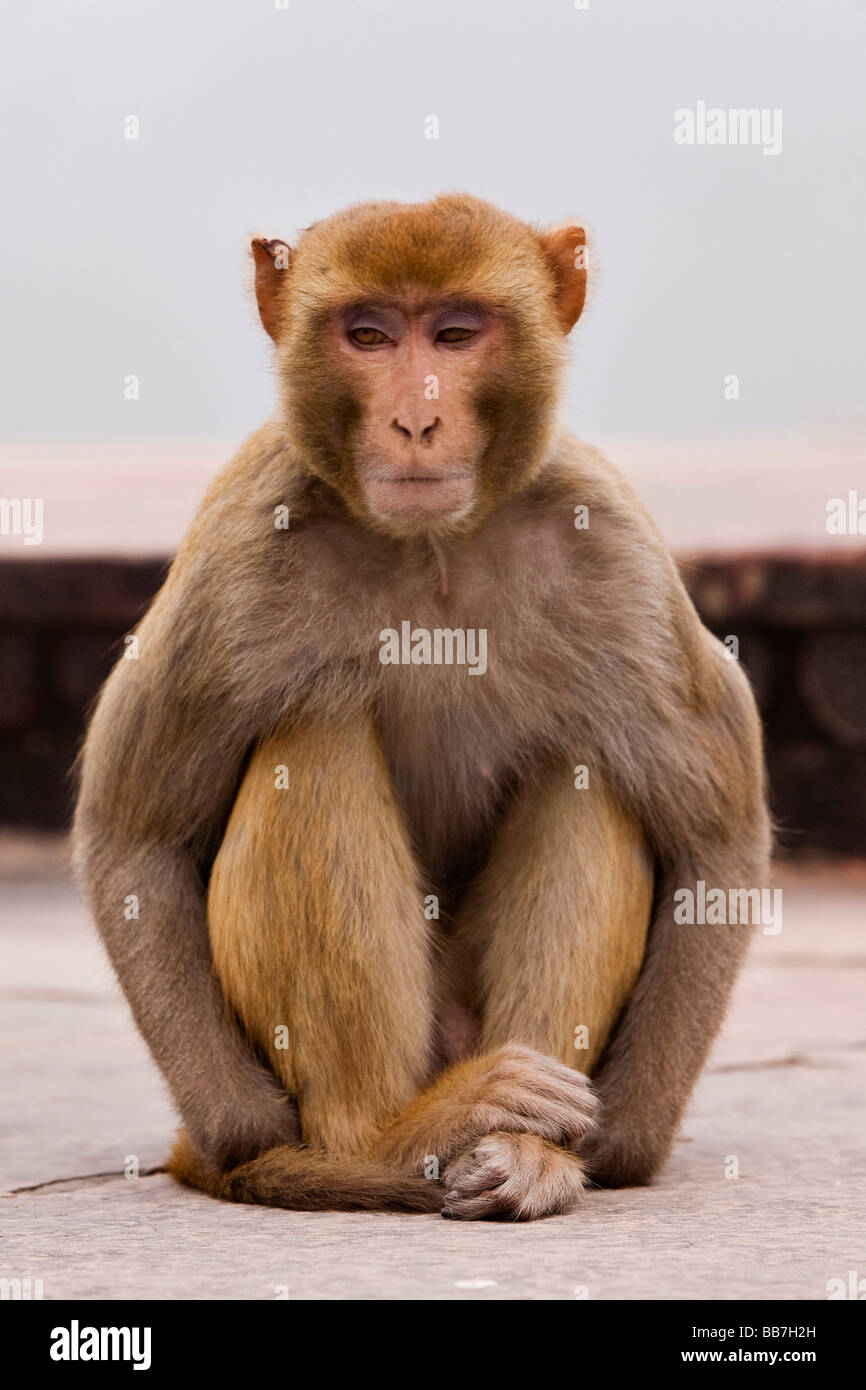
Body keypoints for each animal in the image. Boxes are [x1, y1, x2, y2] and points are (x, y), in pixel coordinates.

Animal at [73, 193, 770, 1220]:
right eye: (368, 335)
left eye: (455, 334)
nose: (416, 418)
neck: (431, 546)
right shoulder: (238, 547)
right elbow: (138, 841)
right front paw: (257, 1150)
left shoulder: (618, 548)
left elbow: (715, 842)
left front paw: (615, 1149)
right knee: (315, 728)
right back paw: (391, 1140)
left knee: (586, 764)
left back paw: (519, 1145)